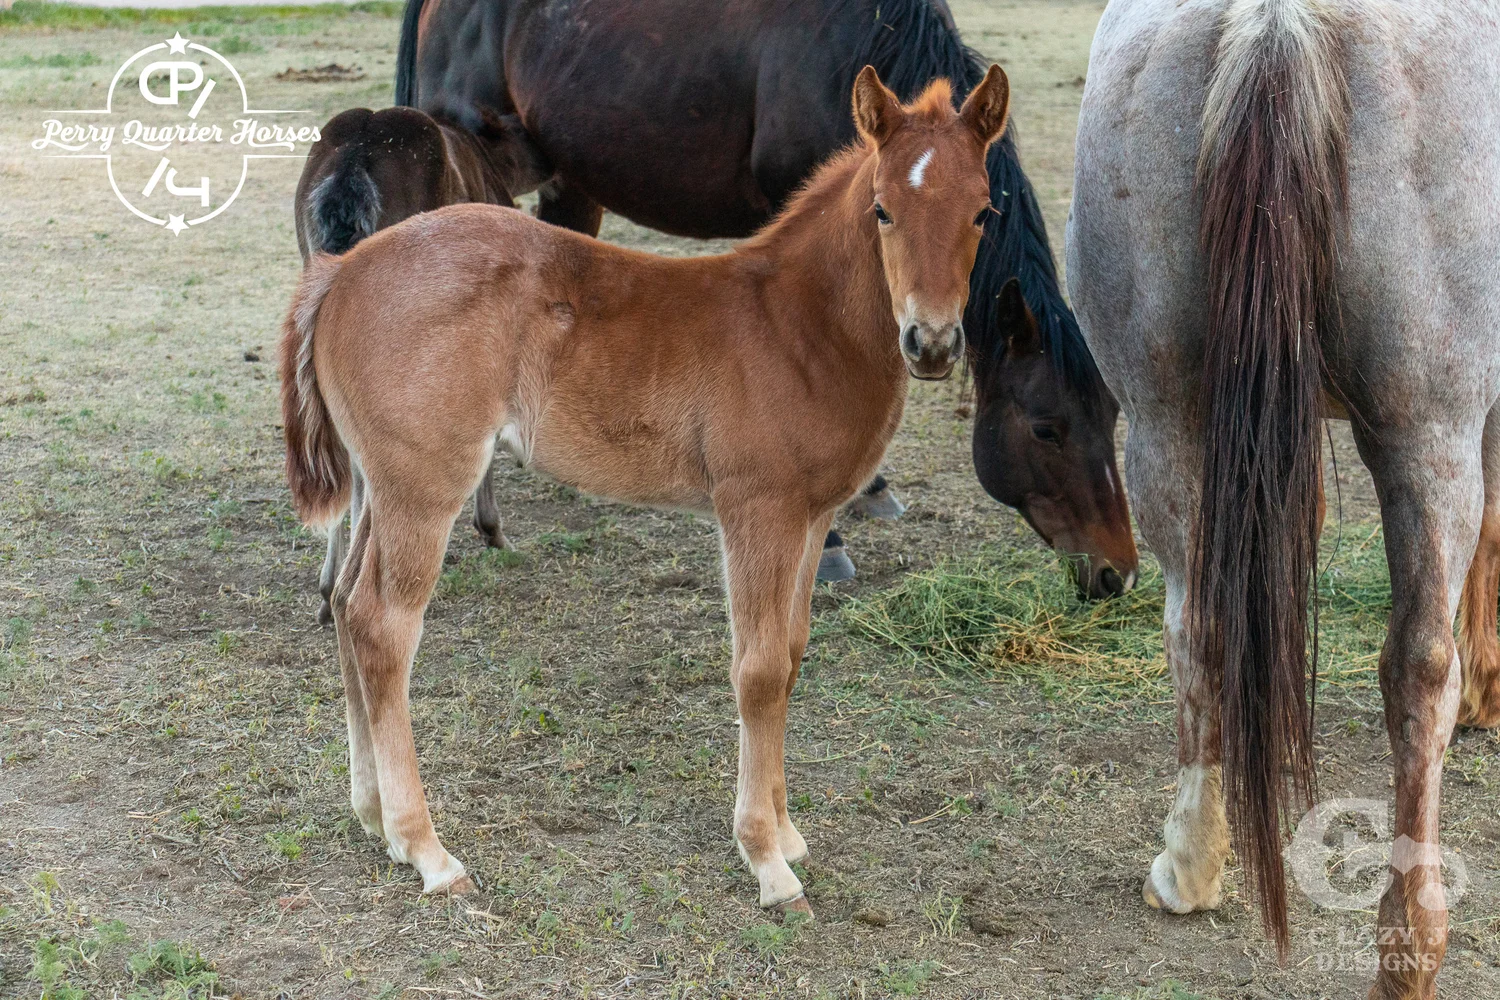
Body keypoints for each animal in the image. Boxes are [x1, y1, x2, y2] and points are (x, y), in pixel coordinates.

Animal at [280, 66, 1011, 911]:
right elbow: (759, 671)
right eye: (883, 208)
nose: (933, 343)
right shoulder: (756, 511)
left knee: (344, 606)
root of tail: (342, 272)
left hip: (379, 485)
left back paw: (372, 817)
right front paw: (766, 860)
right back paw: (426, 848)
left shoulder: (809, 517)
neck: (798, 326)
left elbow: (792, 654)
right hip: (423, 488)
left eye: (982, 211)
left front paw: (788, 831)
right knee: (382, 626)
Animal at [392, 0, 1139, 598]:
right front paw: (830, 542)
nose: (1118, 574)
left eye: (1111, 418)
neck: (854, 50)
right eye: (1046, 428)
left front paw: (871, 490)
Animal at [1068, 0, 1499, 994]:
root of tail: (1280, 22)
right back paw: (1409, 943)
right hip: (1428, 430)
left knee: (1201, 622)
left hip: (1167, 419)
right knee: (1421, 665)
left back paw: (1192, 862)